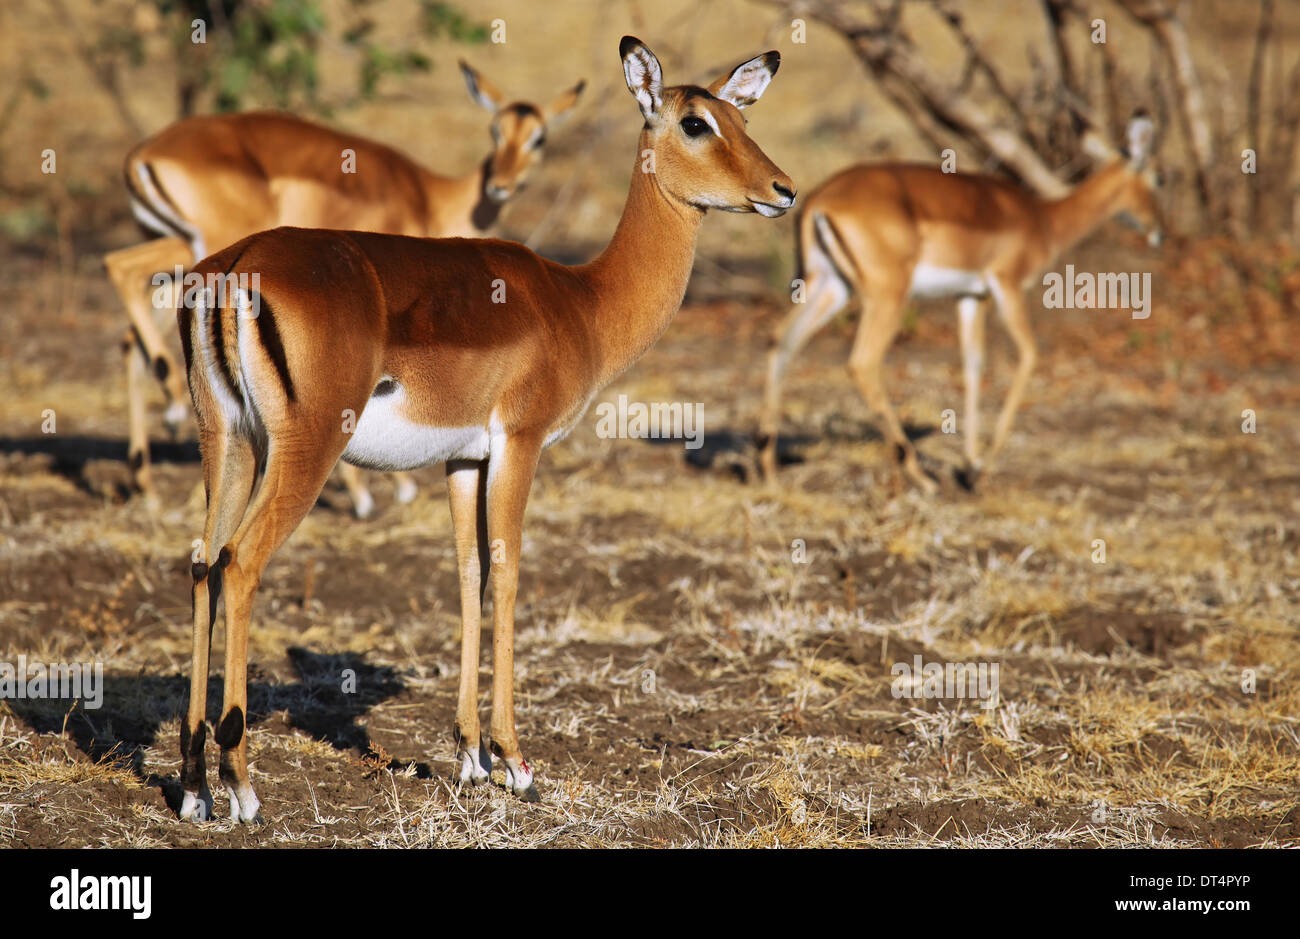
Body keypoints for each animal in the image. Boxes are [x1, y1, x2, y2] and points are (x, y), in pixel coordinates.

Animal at [104, 62, 583, 518]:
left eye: (538, 137)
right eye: (494, 130)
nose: (499, 184)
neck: (428, 197)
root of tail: (143, 153)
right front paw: (370, 495)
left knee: (131, 334)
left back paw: (148, 480)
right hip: (206, 252)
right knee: (119, 269)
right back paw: (171, 406)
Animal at [175, 37, 795, 822]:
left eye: (740, 117)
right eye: (694, 122)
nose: (783, 189)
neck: (582, 301)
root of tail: (232, 268)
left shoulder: (463, 459)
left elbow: (468, 573)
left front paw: (470, 755)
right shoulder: (520, 444)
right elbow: (507, 572)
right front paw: (514, 760)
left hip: (227, 442)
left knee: (203, 560)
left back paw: (193, 784)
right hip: (303, 449)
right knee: (241, 561)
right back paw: (242, 784)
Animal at [758, 113, 1164, 491]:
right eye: (1159, 178)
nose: (1158, 232)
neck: (1042, 220)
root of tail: (820, 200)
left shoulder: (971, 295)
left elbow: (972, 365)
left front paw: (969, 465)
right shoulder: (1006, 287)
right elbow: (1029, 355)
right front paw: (982, 468)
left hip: (831, 286)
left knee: (782, 339)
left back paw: (769, 469)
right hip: (887, 295)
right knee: (861, 362)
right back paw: (921, 478)